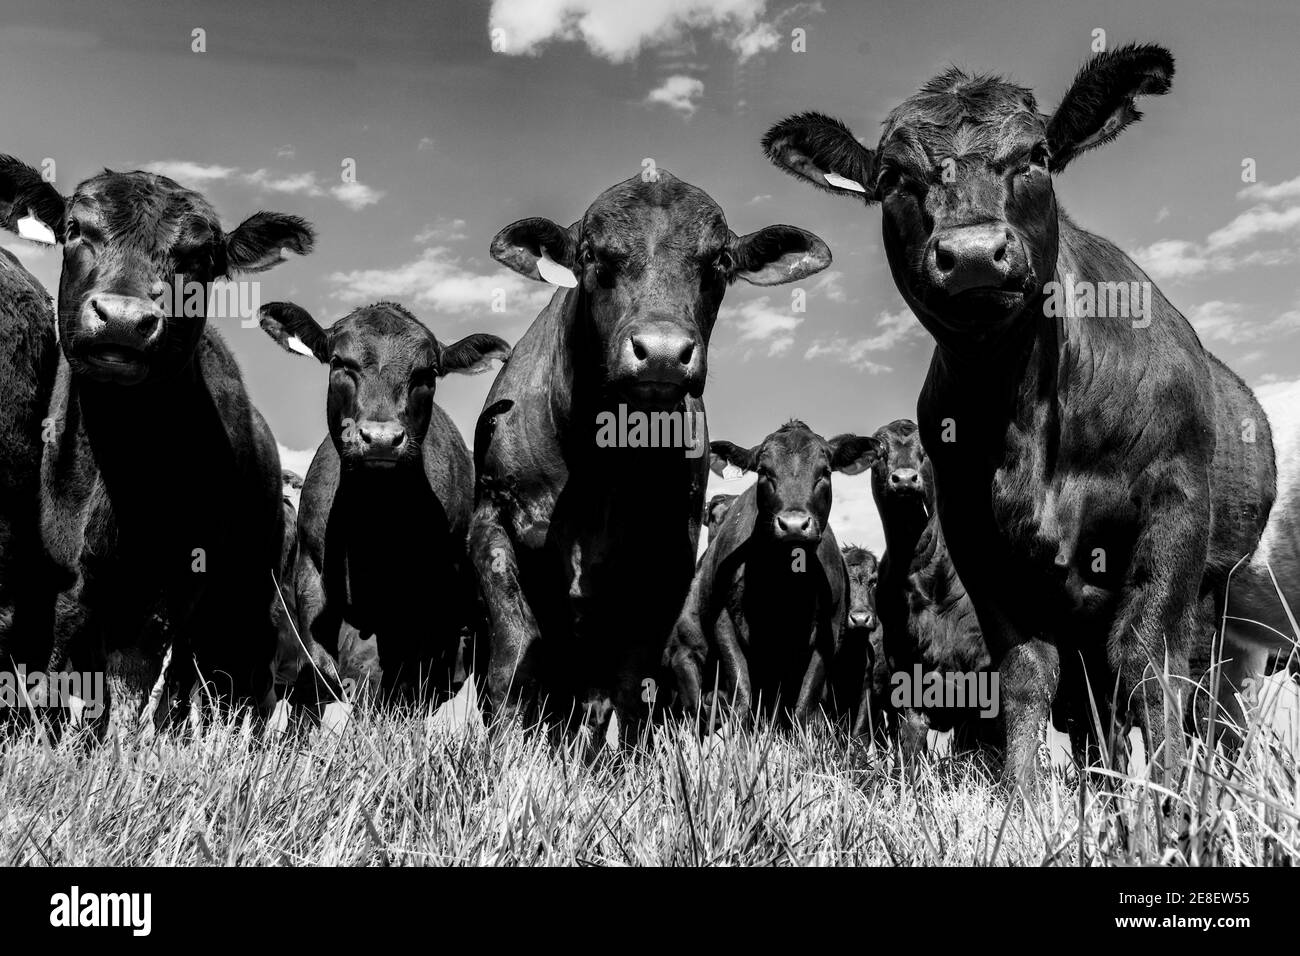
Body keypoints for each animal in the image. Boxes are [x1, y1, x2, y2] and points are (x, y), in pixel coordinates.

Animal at [0, 158, 314, 732]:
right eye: (75, 230)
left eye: (201, 258)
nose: (123, 319)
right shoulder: (64, 577)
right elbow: (70, 674)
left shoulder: (173, 587)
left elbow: (139, 687)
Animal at [471, 171, 832, 739]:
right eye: (591, 254)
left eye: (719, 261)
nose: (662, 352)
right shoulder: (491, 522)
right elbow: (514, 655)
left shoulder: (666, 561)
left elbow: (628, 686)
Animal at [666, 421, 881, 725]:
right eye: (764, 471)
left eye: (825, 472)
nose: (793, 524)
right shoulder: (724, 623)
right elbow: (742, 695)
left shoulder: (828, 634)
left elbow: (804, 705)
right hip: (686, 653)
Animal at [762, 43, 1279, 784]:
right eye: (893, 176)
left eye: (1036, 155)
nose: (975, 253)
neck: (1025, 413)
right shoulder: (978, 537)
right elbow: (1028, 674)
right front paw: (1030, 803)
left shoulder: (1175, 505)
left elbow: (1150, 662)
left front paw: (1169, 801)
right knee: (1097, 715)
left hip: (1222, 597)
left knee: (1202, 701)